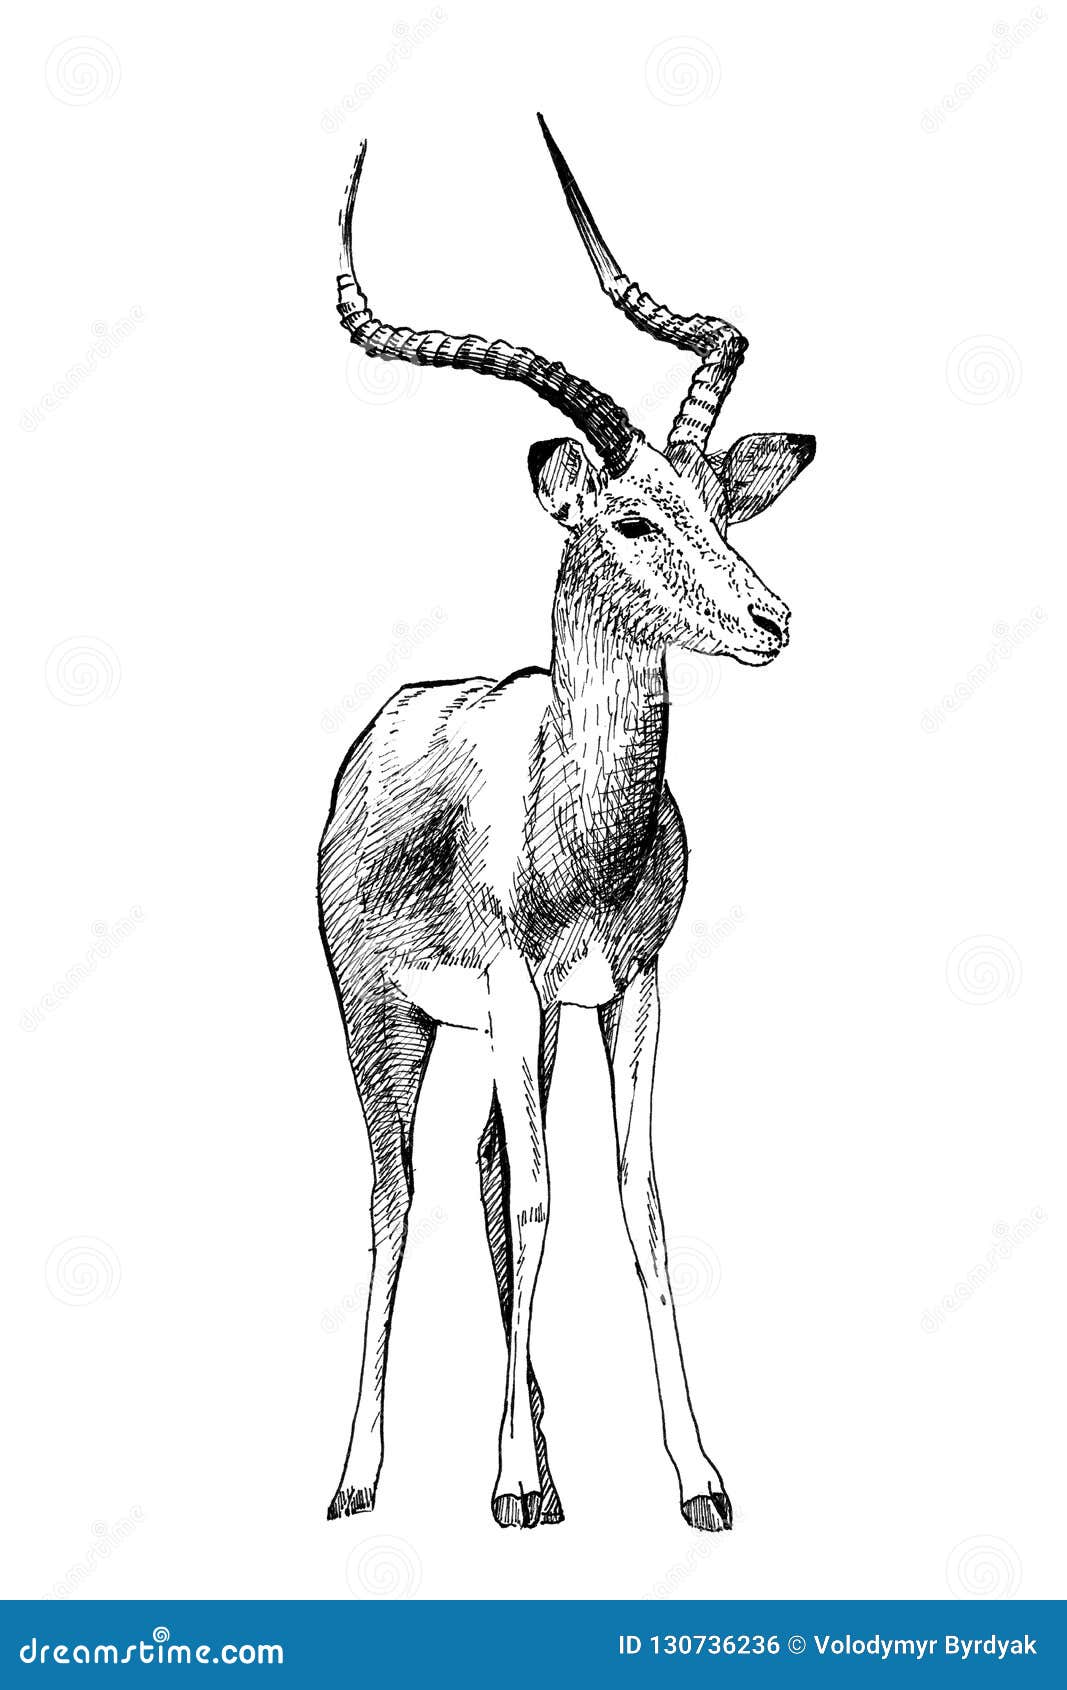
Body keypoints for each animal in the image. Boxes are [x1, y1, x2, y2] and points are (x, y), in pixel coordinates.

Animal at [321, 116, 815, 1532]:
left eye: (717, 505)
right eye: (632, 515)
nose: (769, 619)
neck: (574, 825)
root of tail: (380, 730)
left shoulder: (627, 984)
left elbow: (631, 1198)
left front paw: (697, 1478)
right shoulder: (507, 979)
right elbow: (539, 1202)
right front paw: (506, 1482)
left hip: (516, 1034)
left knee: (487, 1172)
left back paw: (534, 1442)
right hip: (390, 1021)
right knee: (398, 1196)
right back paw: (364, 1475)